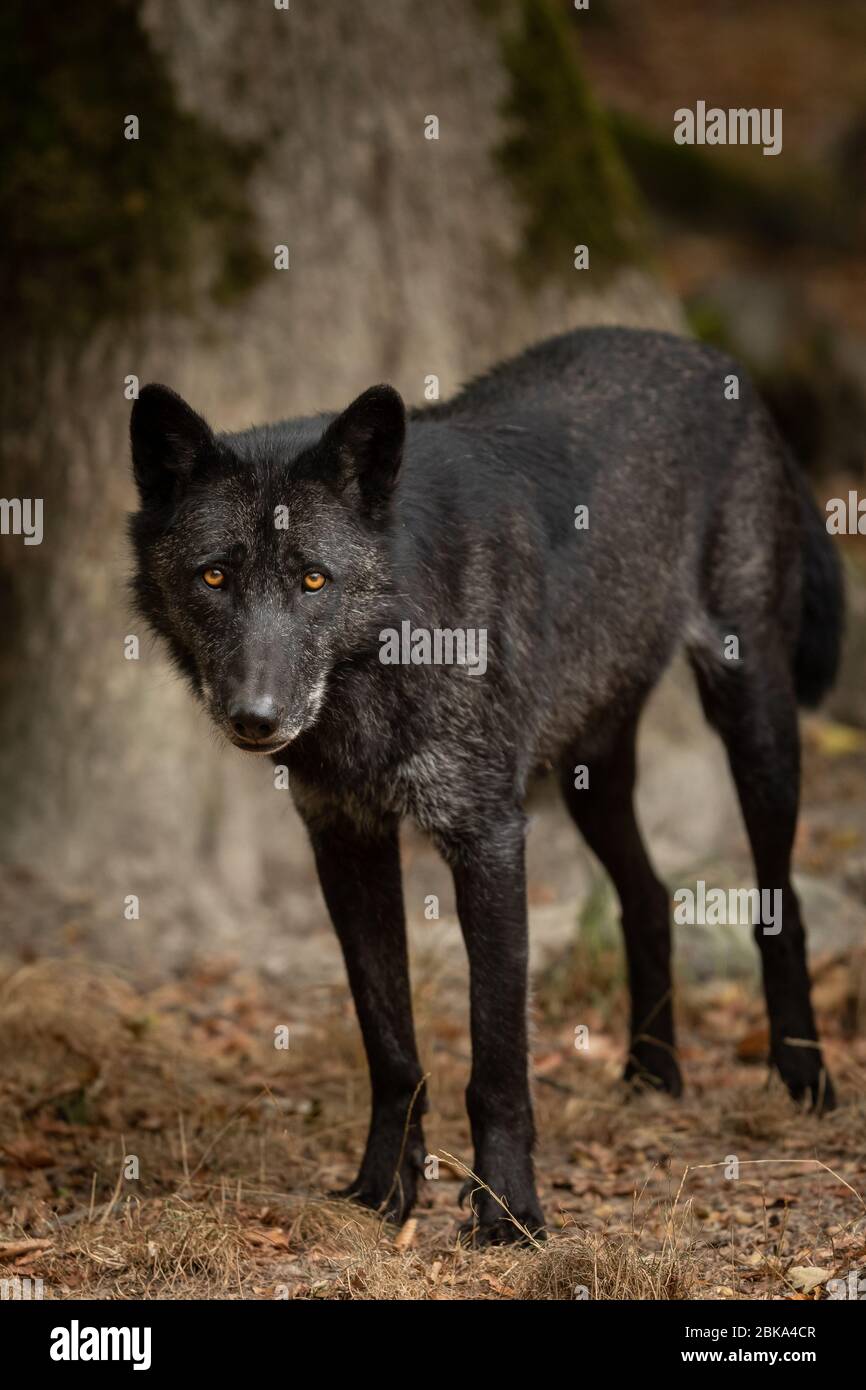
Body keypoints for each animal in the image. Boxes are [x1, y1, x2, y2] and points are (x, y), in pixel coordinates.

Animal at [129, 327, 842, 1244]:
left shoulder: (489, 839)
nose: (255, 717)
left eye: (314, 579)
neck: (381, 666)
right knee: (649, 897)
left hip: (753, 719)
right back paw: (652, 1074)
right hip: (589, 776)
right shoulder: (347, 842)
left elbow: (498, 1057)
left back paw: (803, 1078)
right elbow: (391, 1045)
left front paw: (508, 1211)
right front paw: (382, 1190)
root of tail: (719, 365)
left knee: (778, 910)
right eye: (214, 577)